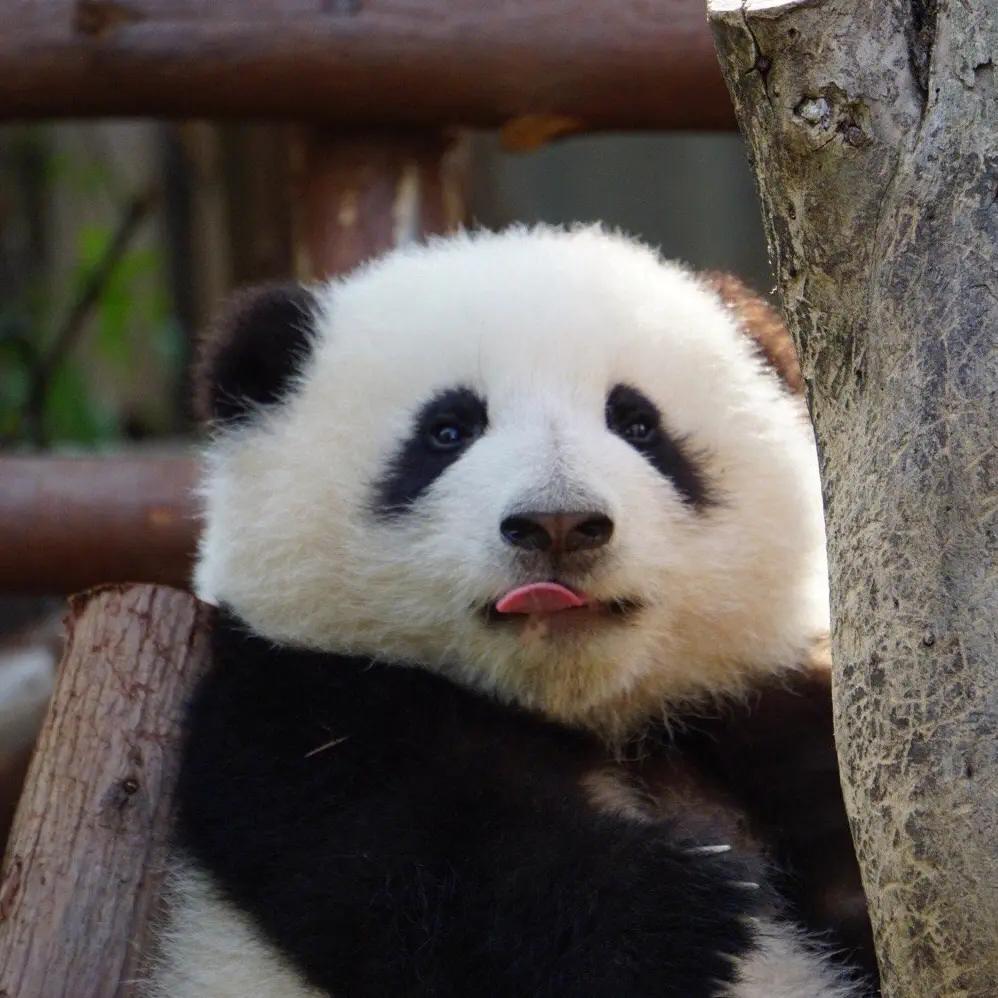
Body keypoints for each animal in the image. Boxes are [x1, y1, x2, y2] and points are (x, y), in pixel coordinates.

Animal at [146, 227, 875, 997]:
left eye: (637, 423)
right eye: (447, 431)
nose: (559, 524)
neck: (579, 711)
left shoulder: (752, 709)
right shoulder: (298, 707)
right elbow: (418, 867)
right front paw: (673, 916)